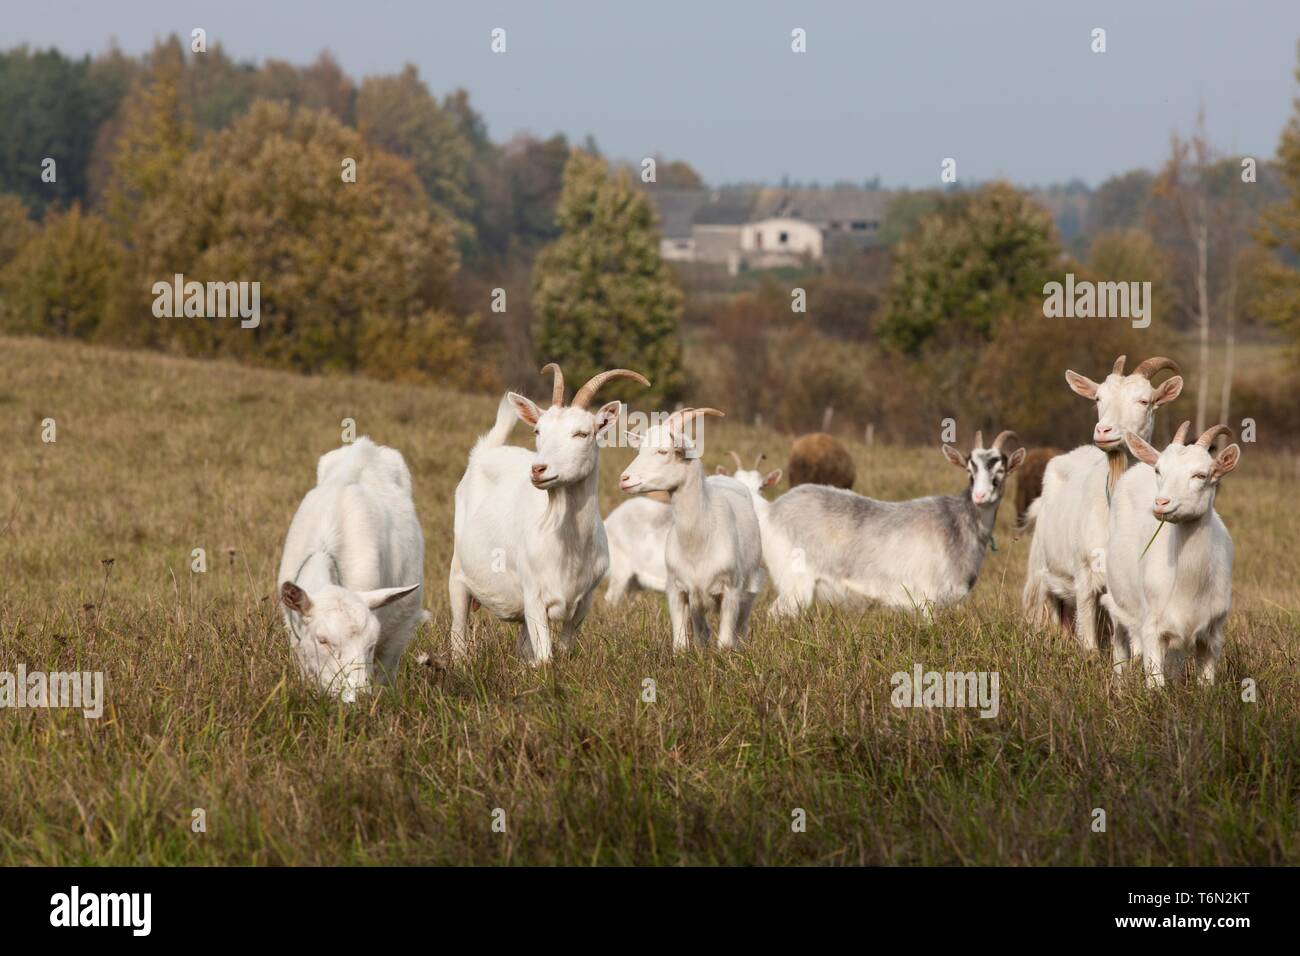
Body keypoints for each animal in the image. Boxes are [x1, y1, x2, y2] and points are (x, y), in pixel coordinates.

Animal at [449, 364, 649, 663]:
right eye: (538, 431)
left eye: (582, 433)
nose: (538, 469)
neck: (568, 546)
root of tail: (484, 452)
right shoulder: (534, 596)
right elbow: (545, 658)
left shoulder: (584, 601)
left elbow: (563, 648)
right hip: (459, 576)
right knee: (458, 634)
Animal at [619, 410, 764, 651]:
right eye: (639, 450)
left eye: (663, 450)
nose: (624, 479)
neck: (698, 540)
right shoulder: (677, 590)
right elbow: (680, 644)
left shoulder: (730, 591)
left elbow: (725, 642)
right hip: (697, 602)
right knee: (702, 631)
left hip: (750, 587)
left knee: (741, 628)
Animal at [764, 431, 1025, 615]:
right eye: (970, 471)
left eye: (1001, 471)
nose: (979, 496)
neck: (958, 522)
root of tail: (771, 509)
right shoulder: (927, 599)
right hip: (795, 584)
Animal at [1021, 355, 1183, 652]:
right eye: (1098, 398)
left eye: (1144, 401)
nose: (1104, 431)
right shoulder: (1085, 574)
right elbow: (1088, 639)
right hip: (1042, 569)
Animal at [1102, 423, 1239, 686]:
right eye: (1159, 470)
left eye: (1201, 475)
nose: (1161, 503)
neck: (1189, 583)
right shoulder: (1151, 627)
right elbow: (1155, 683)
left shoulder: (1213, 633)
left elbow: (1206, 683)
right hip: (1118, 601)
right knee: (1120, 648)